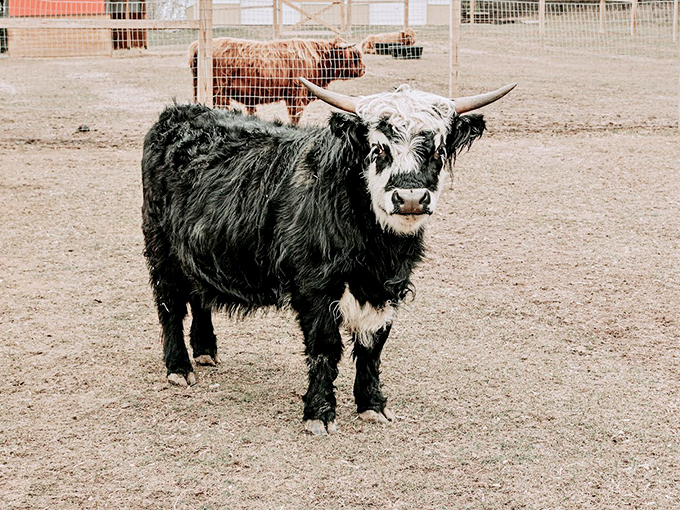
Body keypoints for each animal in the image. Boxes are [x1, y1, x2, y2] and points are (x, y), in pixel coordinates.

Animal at [141, 78, 515, 435]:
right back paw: (179, 367)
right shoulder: (315, 287)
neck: (375, 247)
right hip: (161, 250)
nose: (410, 199)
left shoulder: (386, 289)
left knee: (199, 295)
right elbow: (325, 346)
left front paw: (372, 405)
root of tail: (181, 113)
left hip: (197, 250)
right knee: (171, 304)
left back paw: (205, 350)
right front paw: (319, 413)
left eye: (437, 148)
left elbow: (372, 346)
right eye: (378, 148)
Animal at [188, 36, 365, 125]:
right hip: (219, 90)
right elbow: (295, 117)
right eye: (355, 56)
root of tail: (197, 46)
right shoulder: (297, 94)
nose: (364, 69)